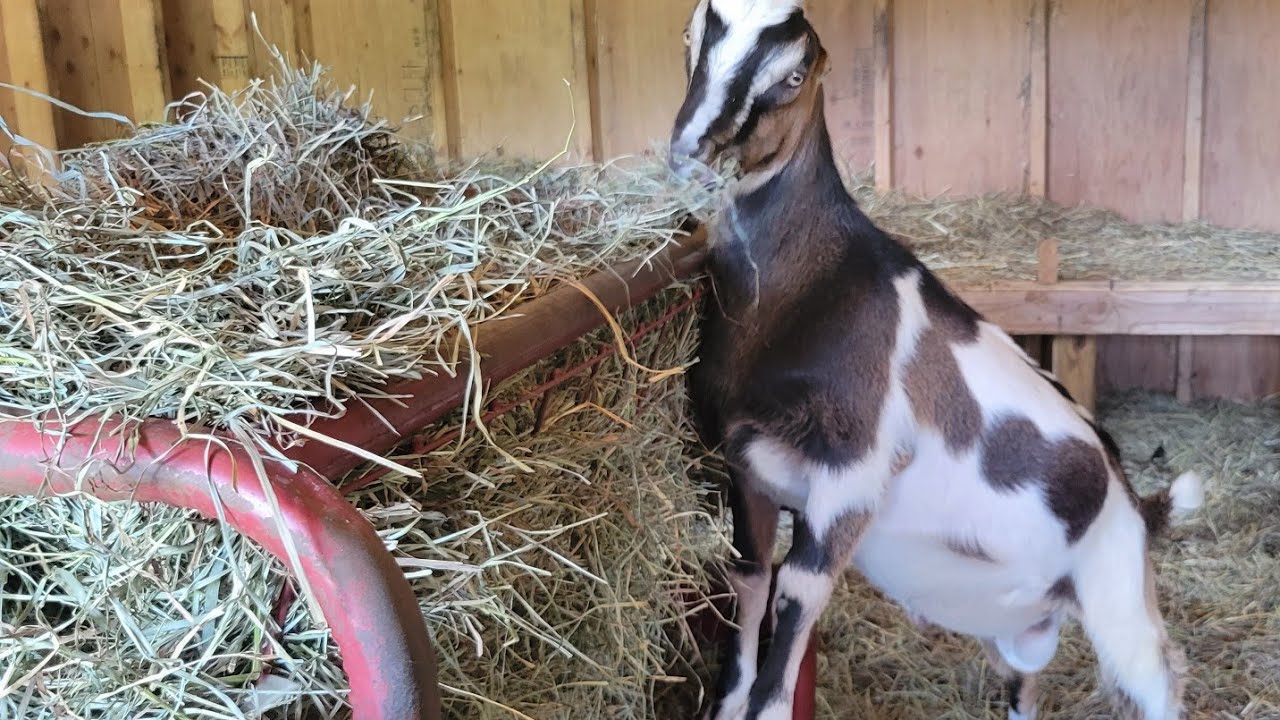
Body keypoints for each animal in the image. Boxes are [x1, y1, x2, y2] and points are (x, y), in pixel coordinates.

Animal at [667, 2, 1204, 719]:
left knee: (1160, 677)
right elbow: (749, 583)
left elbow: (794, 603)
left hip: (1120, 605)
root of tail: (1137, 505)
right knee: (1024, 679)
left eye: (794, 75)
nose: (692, 154)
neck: (811, 287)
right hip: (1009, 625)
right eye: (692, 34)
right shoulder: (747, 467)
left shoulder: (851, 478)